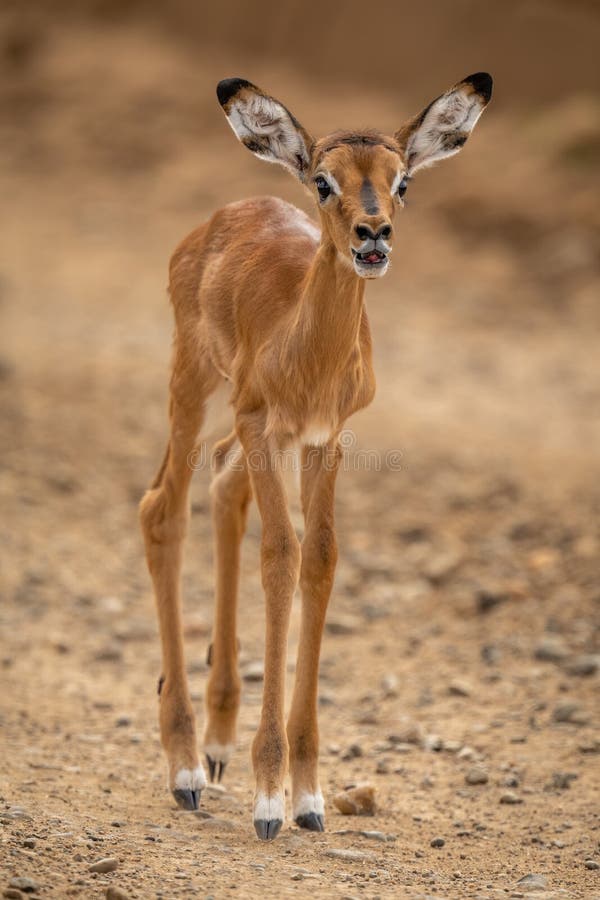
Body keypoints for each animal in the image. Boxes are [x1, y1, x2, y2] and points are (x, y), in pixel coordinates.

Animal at [140, 72, 493, 840]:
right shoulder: (264, 425)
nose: (373, 235)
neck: (309, 348)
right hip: (193, 382)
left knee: (221, 483)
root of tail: (219, 219)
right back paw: (186, 768)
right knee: (163, 510)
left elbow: (321, 559)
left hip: (247, 432)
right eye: (324, 181)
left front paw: (307, 794)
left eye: (402, 180)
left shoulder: (323, 441)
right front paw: (271, 798)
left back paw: (217, 744)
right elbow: (281, 555)